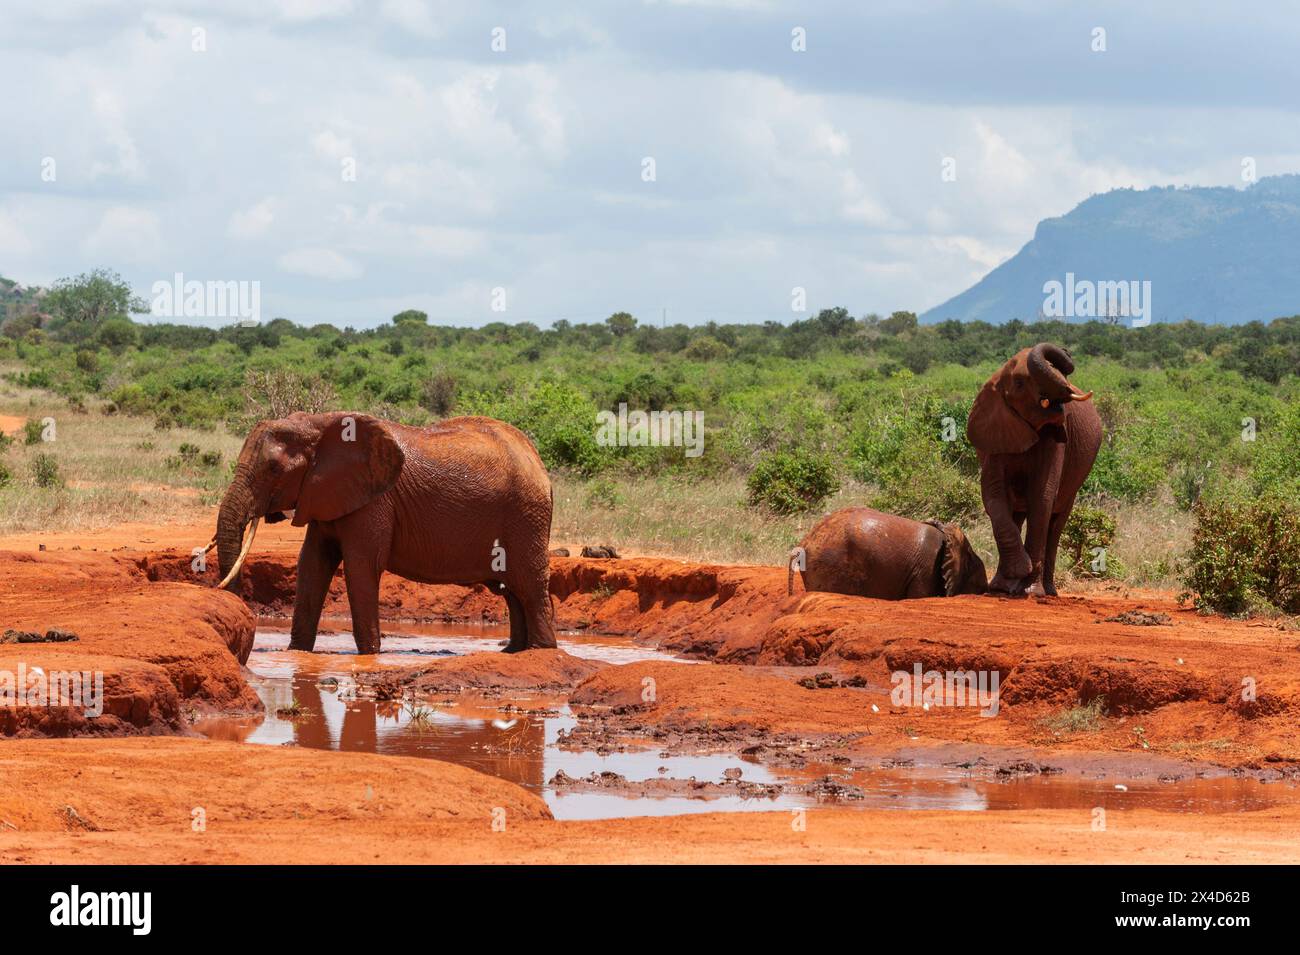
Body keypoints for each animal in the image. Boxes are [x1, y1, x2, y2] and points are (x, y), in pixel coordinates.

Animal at [214, 412, 557, 654]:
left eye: (273, 469)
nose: (243, 615)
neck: (318, 423)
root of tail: (539, 462)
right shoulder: (326, 494)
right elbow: (312, 563)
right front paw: (297, 652)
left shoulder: (375, 500)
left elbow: (361, 566)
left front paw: (370, 655)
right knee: (512, 590)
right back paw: (514, 651)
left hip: (526, 516)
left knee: (528, 584)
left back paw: (540, 651)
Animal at [966, 342, 1103, 597]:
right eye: (1019, 383)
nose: (1066, 351)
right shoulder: (997, 434)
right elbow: (993, 494)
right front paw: (1019, 572)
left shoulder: (1056, 436)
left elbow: (1042, 495)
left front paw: (1030, 591)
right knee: (1017, 515)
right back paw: (1002, 586)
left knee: (1055, 524)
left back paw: (1047, 591)